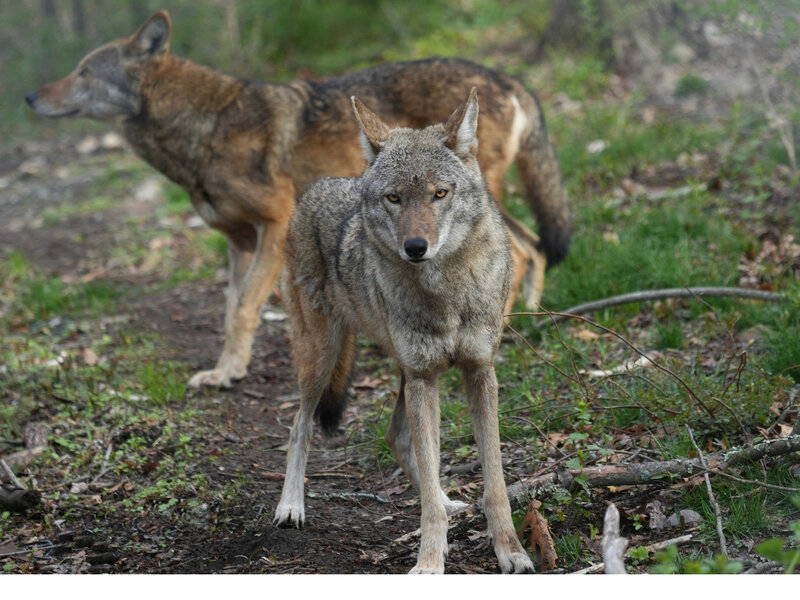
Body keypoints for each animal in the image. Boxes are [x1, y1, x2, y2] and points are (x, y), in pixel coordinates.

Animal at [26, 10, 572, 389]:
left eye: (84, 72)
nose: (29, 98)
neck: (202, 130)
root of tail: (509, 77)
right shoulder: (237, 242)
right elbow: (230, 309)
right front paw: (224, 370)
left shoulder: (274, 224)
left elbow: (243, 309)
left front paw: (230, 373)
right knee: (534, 246)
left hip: (472, 206)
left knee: (522, 247)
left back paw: (503, 327)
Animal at [273, 89, 534, 574]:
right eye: (394, 198)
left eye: (439, 193)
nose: (416, 247)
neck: (446, 292)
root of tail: (317, 186)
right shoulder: (424, 379)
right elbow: (428, 488)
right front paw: (430, 562)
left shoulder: (478, 372)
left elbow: (494, 481)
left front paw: (511, 550)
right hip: (323, 357)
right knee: (300, 425)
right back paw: (290, 506)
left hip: (397, 371)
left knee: (395, 437)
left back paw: (450, 502)